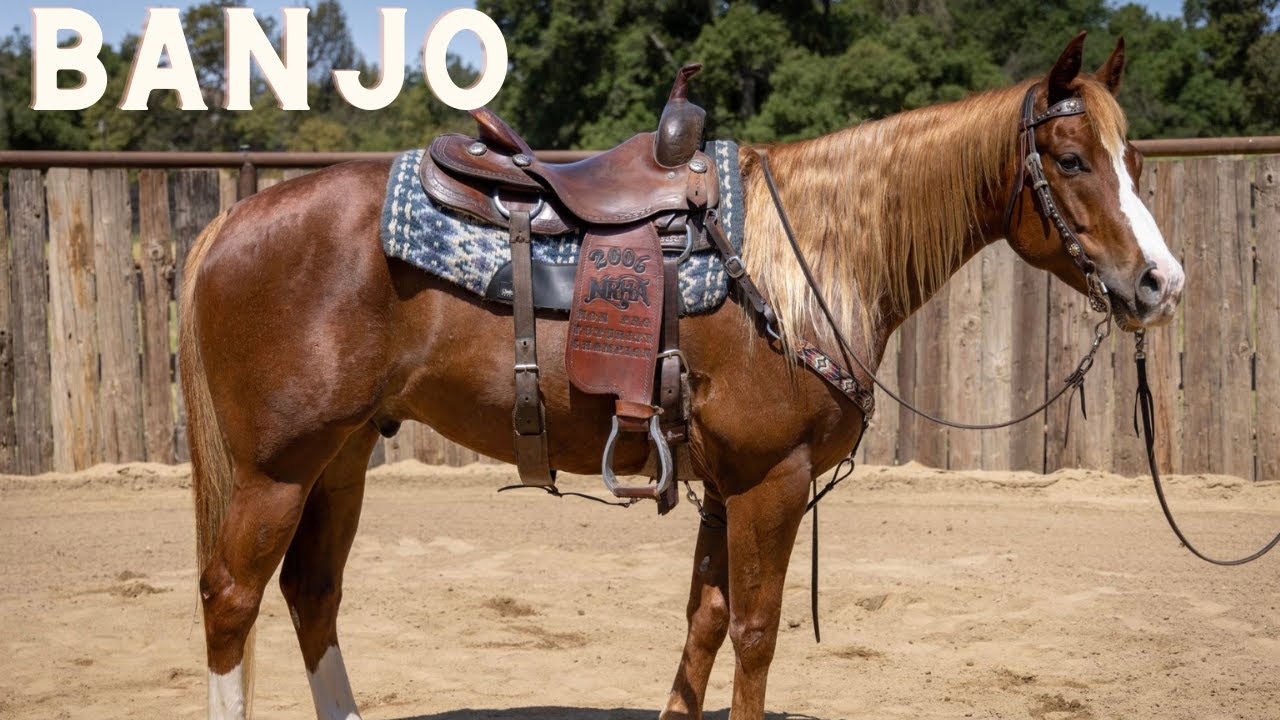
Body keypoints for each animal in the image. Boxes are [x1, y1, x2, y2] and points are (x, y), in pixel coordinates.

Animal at [182, 33, 1184, 719]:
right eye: (1071, 159)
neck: (808, 256)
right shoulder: (771, 480)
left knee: (312, 594)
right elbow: (754, 633)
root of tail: (230, 223)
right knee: (232, 601)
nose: (1160, 282)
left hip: (343, 457)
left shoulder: (722, 484)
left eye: (1135, 158)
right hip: (277, 470)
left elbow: (702, 622)